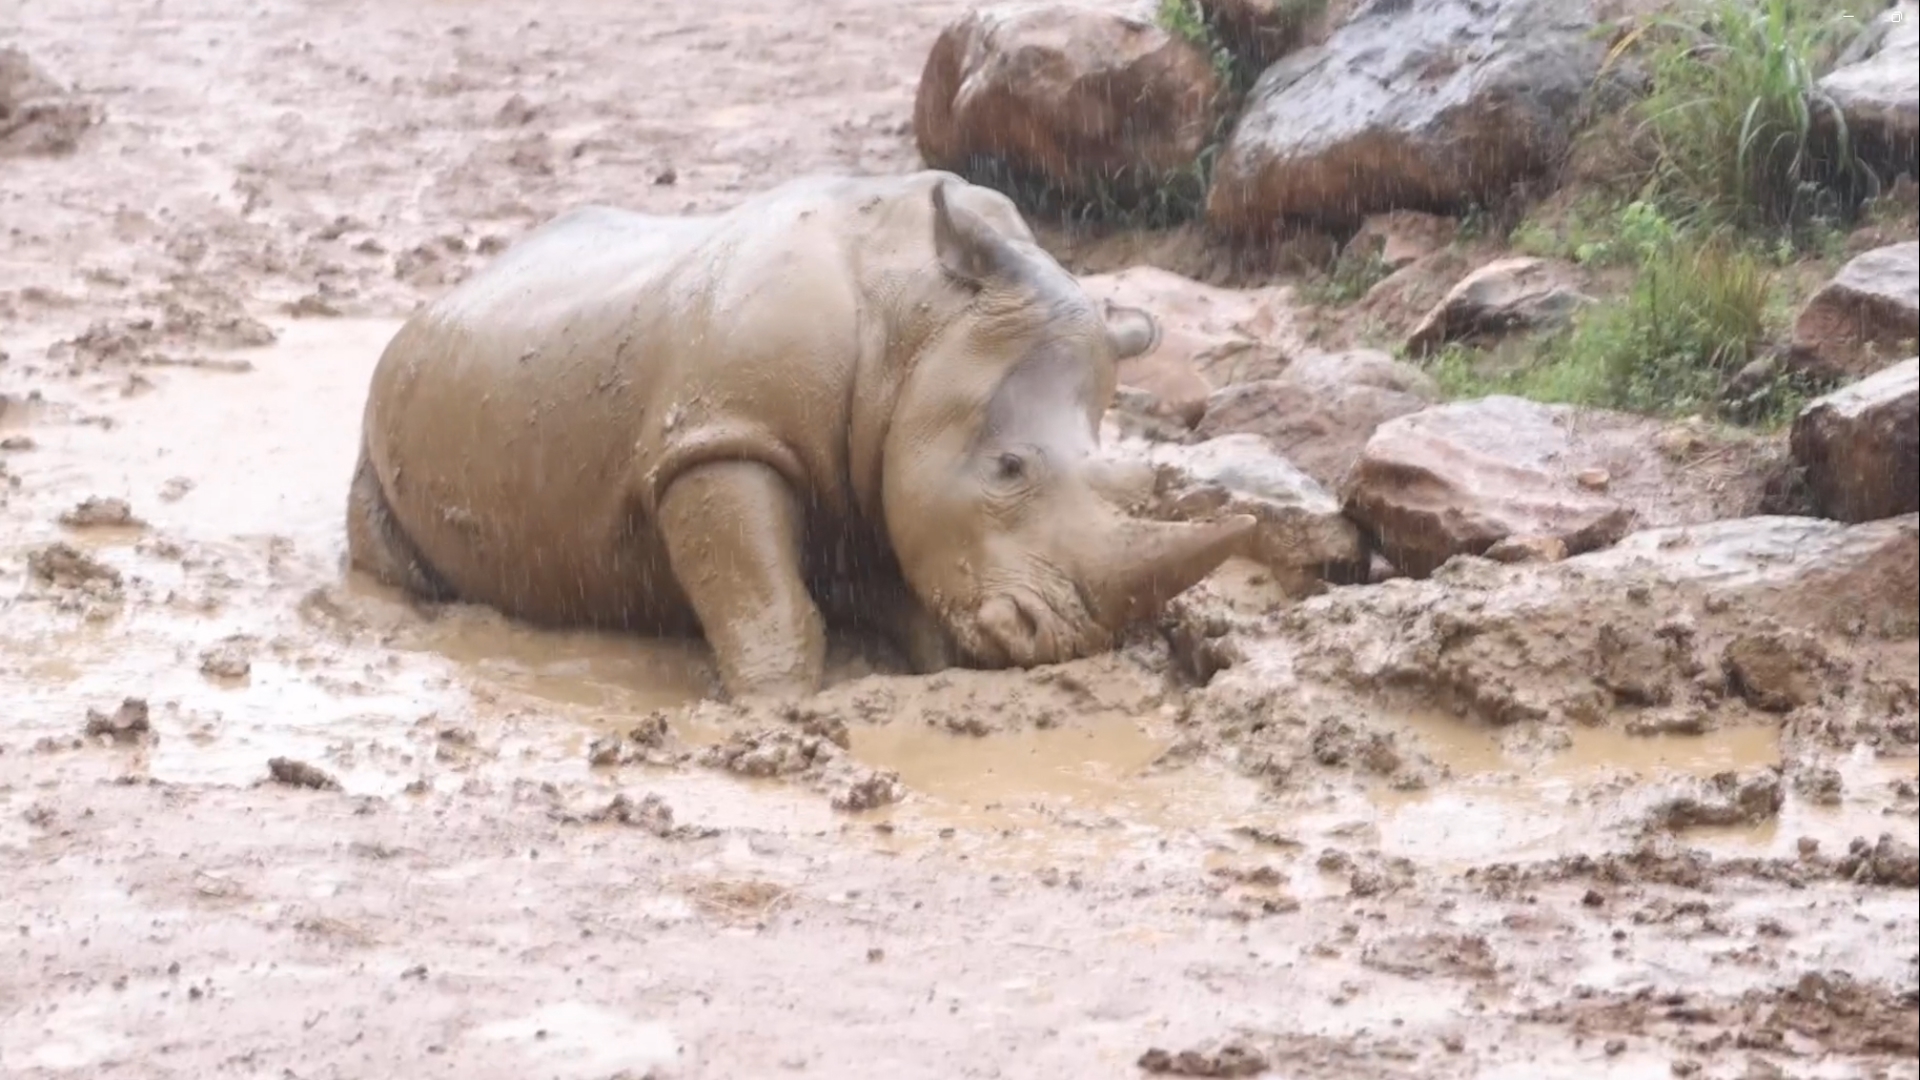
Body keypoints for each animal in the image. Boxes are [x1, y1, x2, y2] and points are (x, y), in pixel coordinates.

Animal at [347, 170, 1254, 699]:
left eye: (1134, 484)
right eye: (1006, 467)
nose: (1062, 642)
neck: (921, 321)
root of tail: (456, 286)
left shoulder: (875, 478)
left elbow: (888, 582)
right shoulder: (720, 434)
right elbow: (764, 597)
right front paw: (770, 709)